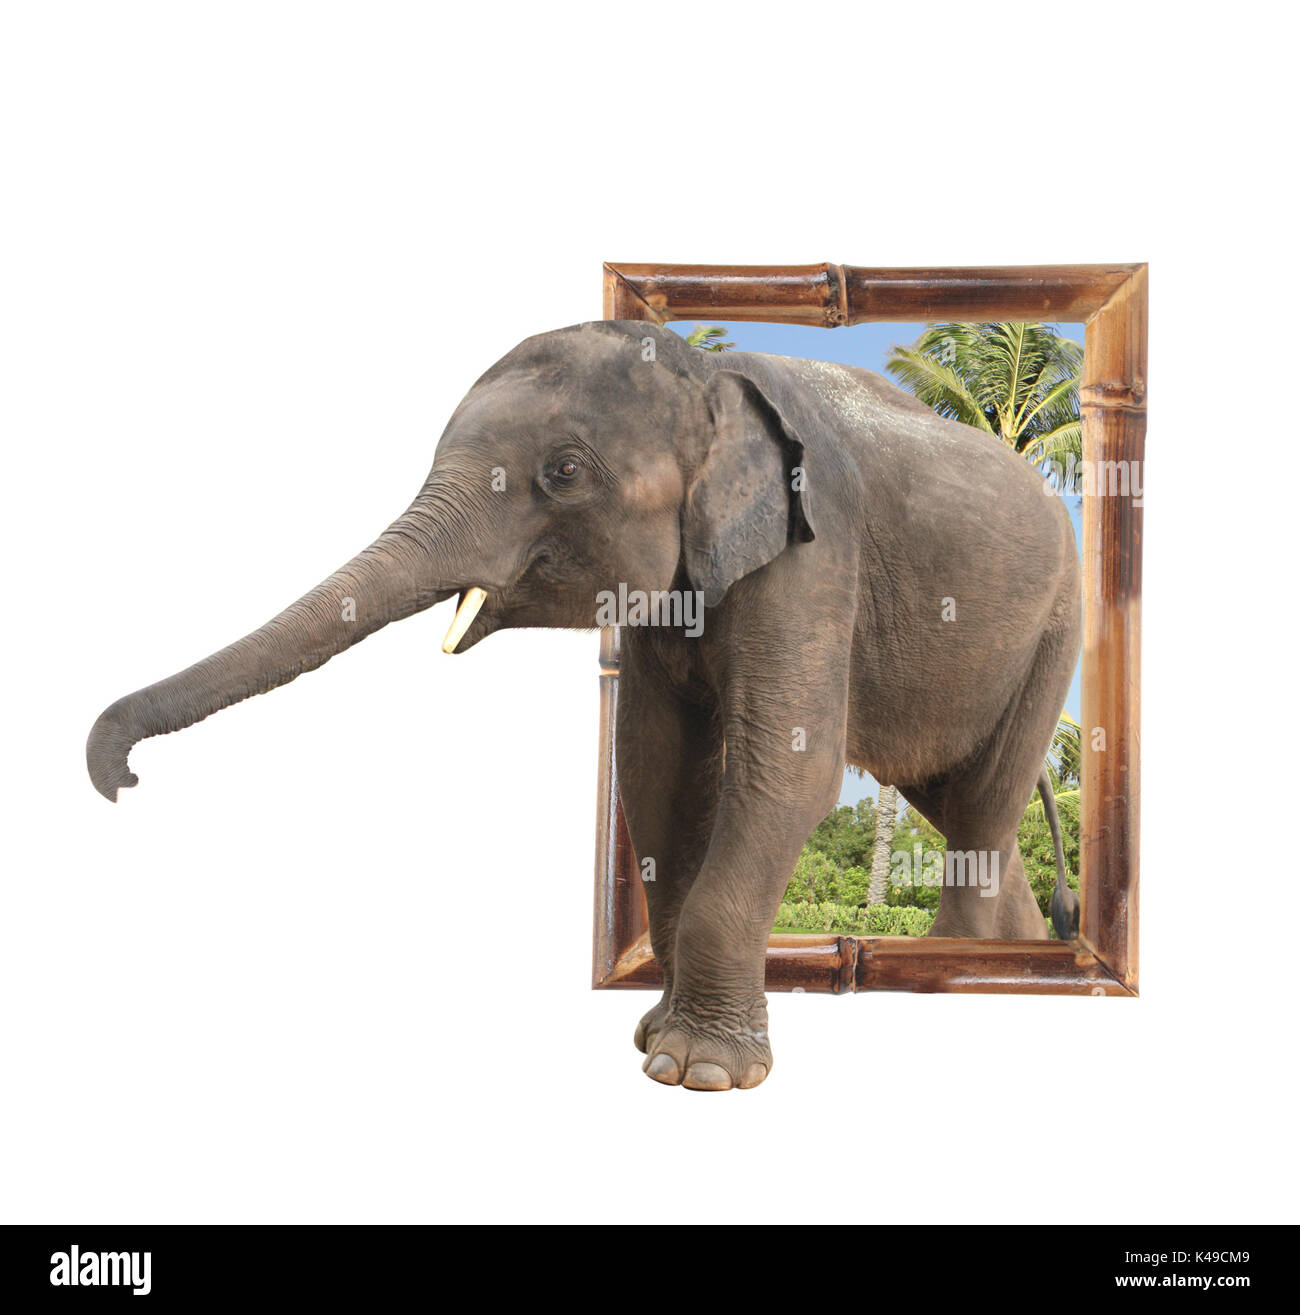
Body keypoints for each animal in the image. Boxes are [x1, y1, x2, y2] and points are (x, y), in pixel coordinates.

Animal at [87, 320, 1081, 1091]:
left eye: (563, 471)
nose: (121, 778)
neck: (708, 381)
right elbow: (655, 764)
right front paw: (657, 1039)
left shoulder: (813, 550)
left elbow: (787, 764)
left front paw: (700, 1072)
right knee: (958, 801)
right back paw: (1009, 962)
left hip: (1059, 623)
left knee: (982, 805)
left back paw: (976, 970)